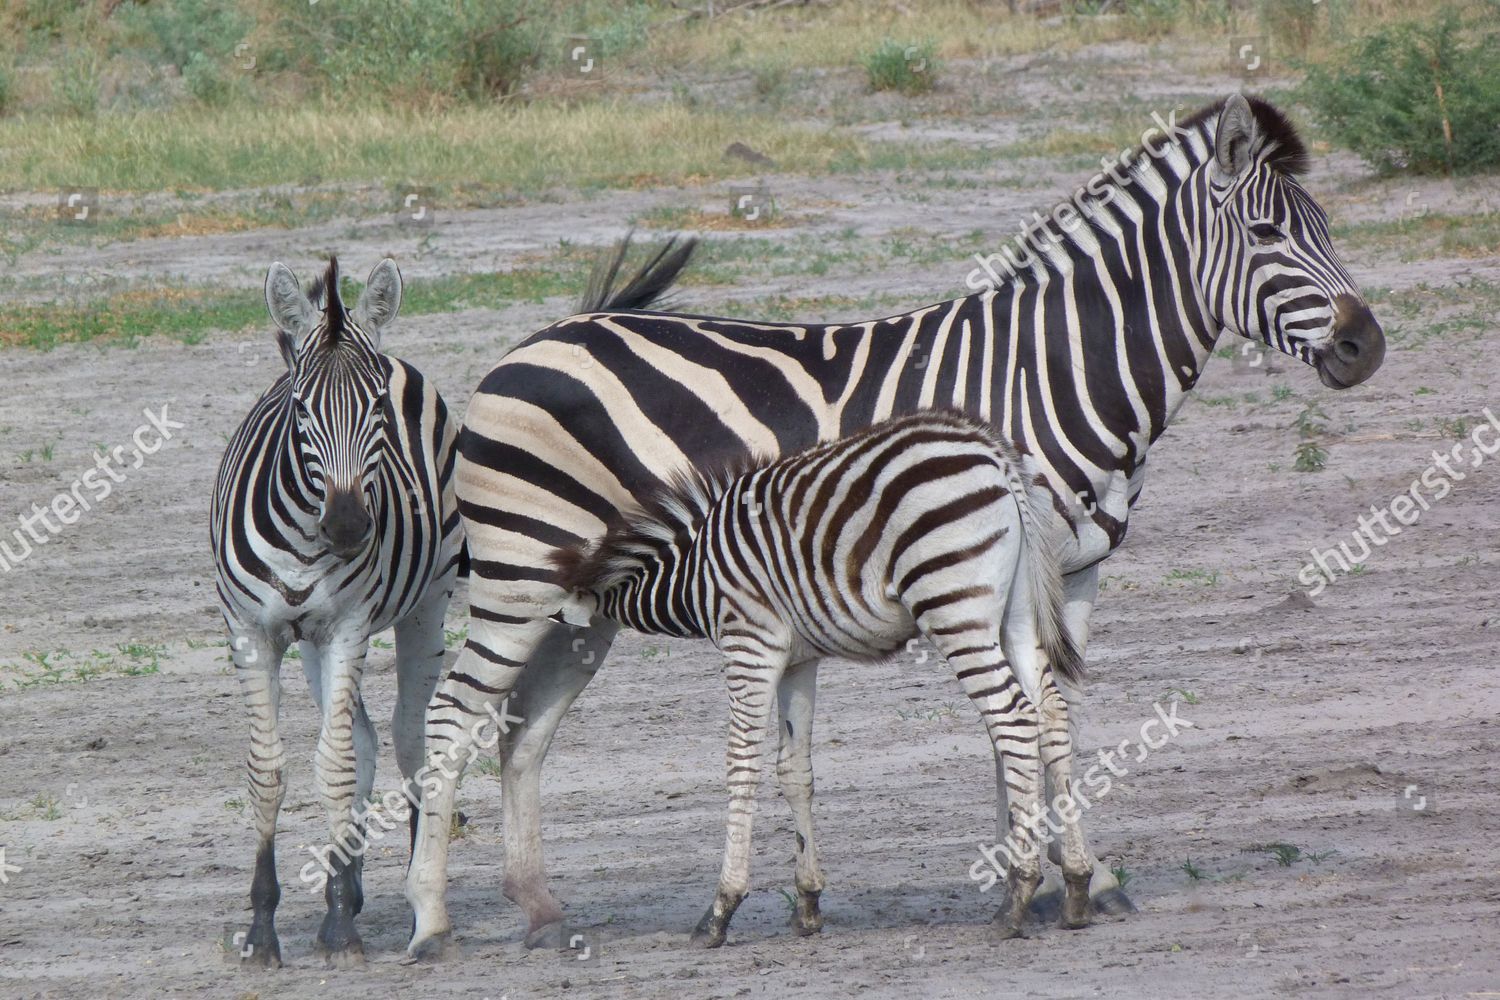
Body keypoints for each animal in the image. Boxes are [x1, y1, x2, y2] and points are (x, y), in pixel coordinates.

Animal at [210, 256, 464, 968]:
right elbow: (271, 770)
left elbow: (334, 766)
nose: (349, 526)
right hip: (309, 644)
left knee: (405, 737)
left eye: (376, 405)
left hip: (426, 605)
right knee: (366, 738)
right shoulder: (254, 632)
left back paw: (412, 896)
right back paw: (346, 883)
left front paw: (340, 929)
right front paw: (265, 927)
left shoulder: (348, 627)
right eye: (299, 406)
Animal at [554, 409, 1091, 944]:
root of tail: (992, 450)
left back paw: (1016, 896)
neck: (693, 573)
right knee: (1051, 714)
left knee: (1013, 719)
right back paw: (1077, 885)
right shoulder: (797, 660)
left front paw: (721, 908)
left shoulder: (749, 642)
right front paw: (808, 903)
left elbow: (741, 765)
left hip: (953, 603)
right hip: (1017, 611)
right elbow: (794, 769)